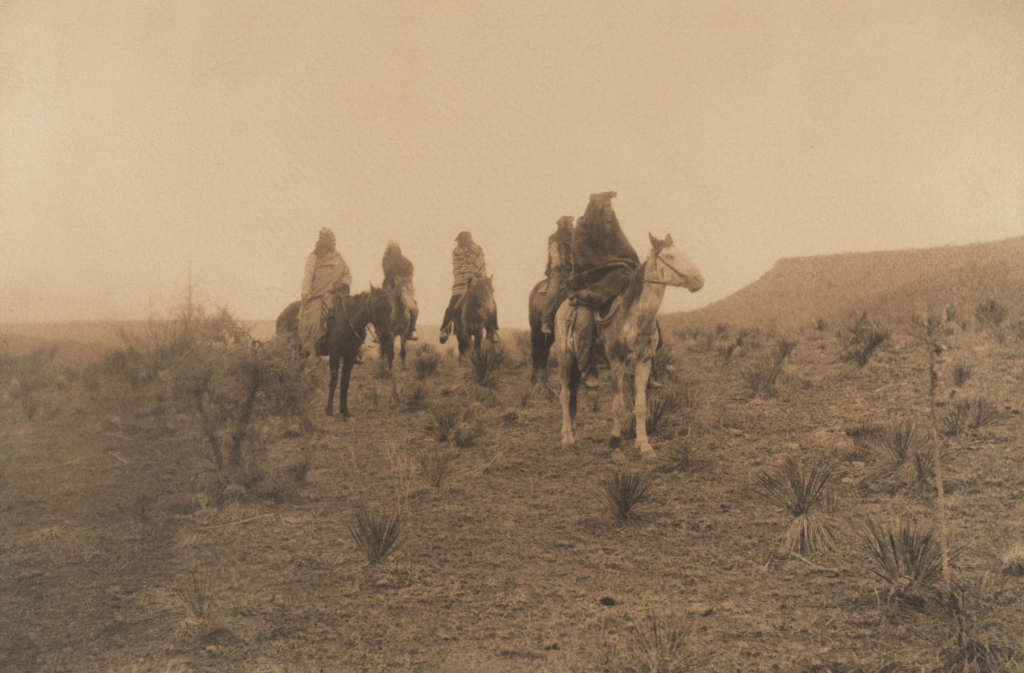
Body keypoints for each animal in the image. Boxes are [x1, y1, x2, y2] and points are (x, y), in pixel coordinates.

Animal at [552, 233, 704, 458]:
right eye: (670, 256)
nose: (698, 280)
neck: (635, 317)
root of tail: (562, 307)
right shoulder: (617, 363)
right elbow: (618, 405)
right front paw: (615, 441)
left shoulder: (644, 362)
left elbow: (640, 405)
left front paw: (644, 445)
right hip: (565, 357)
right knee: (565, 395)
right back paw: (567, 439)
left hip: (577, 365)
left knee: (573, 397)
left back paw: (574, 436)